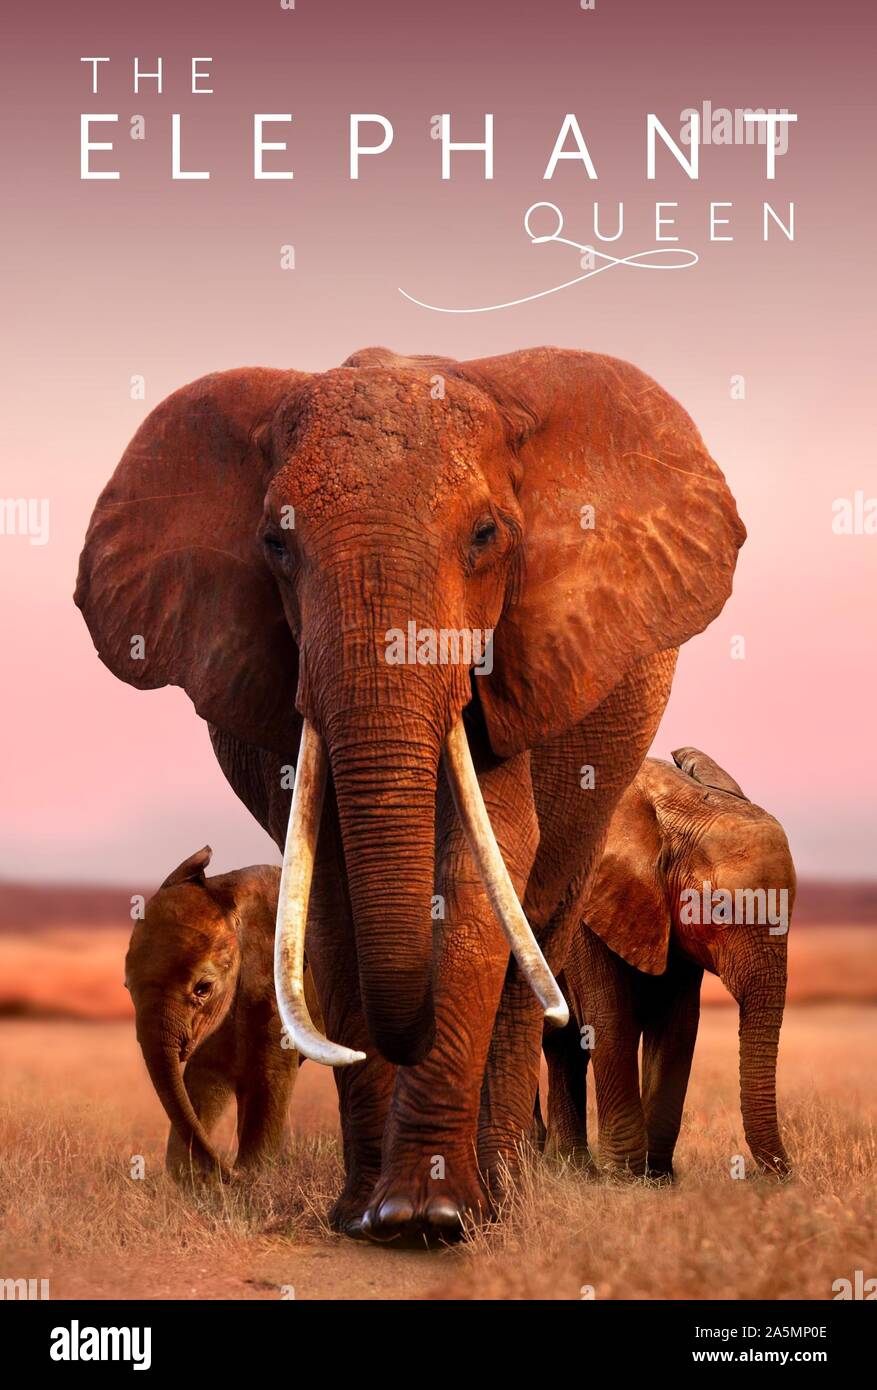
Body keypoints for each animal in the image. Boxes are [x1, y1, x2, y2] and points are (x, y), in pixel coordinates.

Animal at [125, 847, 320, 1178]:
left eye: (203, 988)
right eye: (127, 987)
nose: (227, 1170)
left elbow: (270, 1076)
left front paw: (250, 1175)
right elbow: (205, 1075)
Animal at [543, 748, 795, 1179]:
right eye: (721, 910)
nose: (786, 1174)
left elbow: (678, 1026)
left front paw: (658, 1178)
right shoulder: (586, 904)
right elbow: (610, 1019)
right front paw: (624, 1178)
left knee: (560, 1045)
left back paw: (565, 1168)